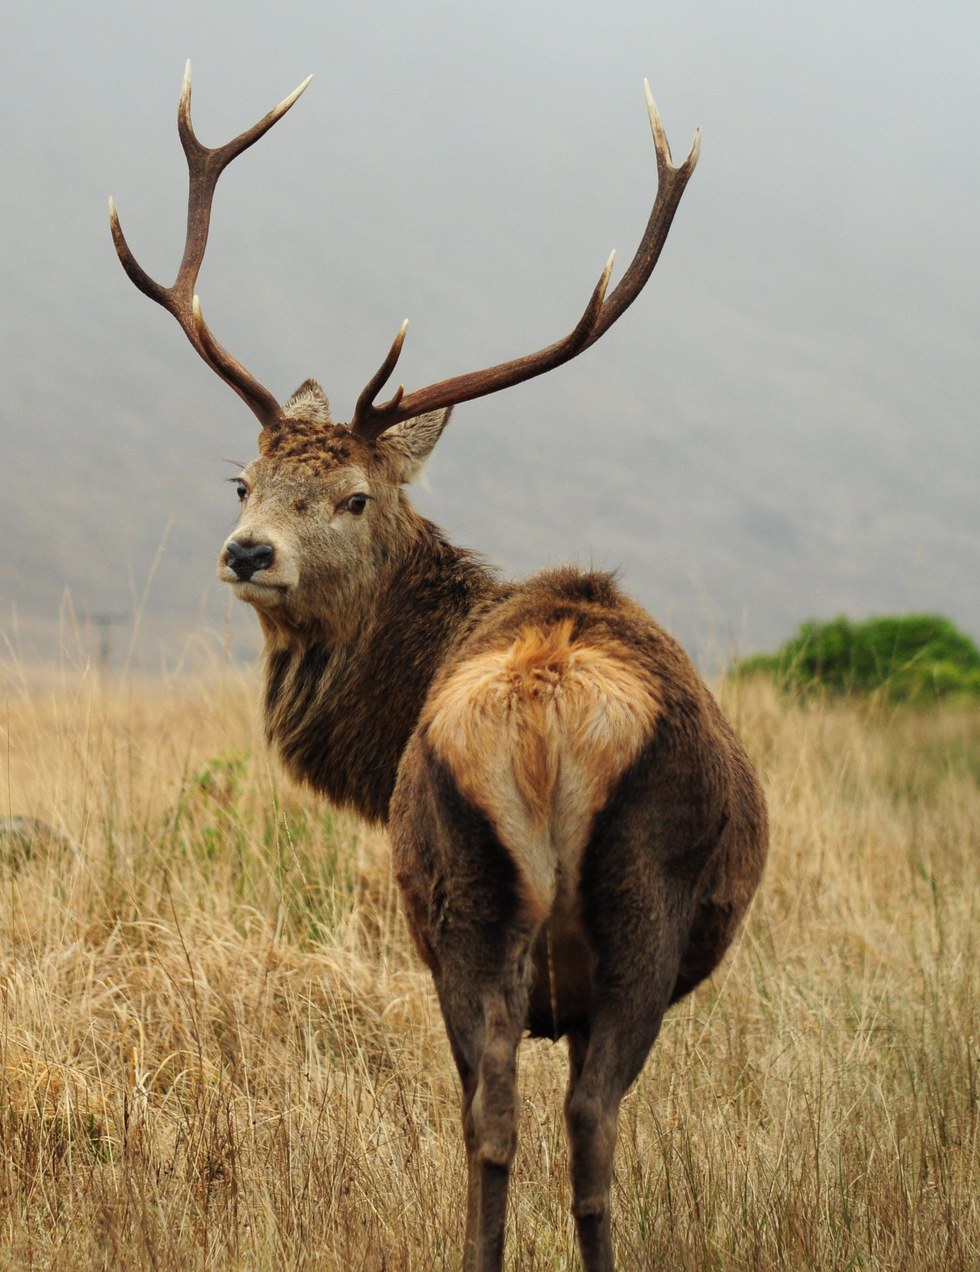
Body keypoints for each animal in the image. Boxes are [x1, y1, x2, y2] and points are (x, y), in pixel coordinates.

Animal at [109, 64, 768, 1272]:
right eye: (244, 482)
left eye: (352, 497)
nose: (246, 553)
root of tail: (546, 716)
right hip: (590, 908)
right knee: (573, 1121)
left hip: (471, 899)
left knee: (499, 1117)